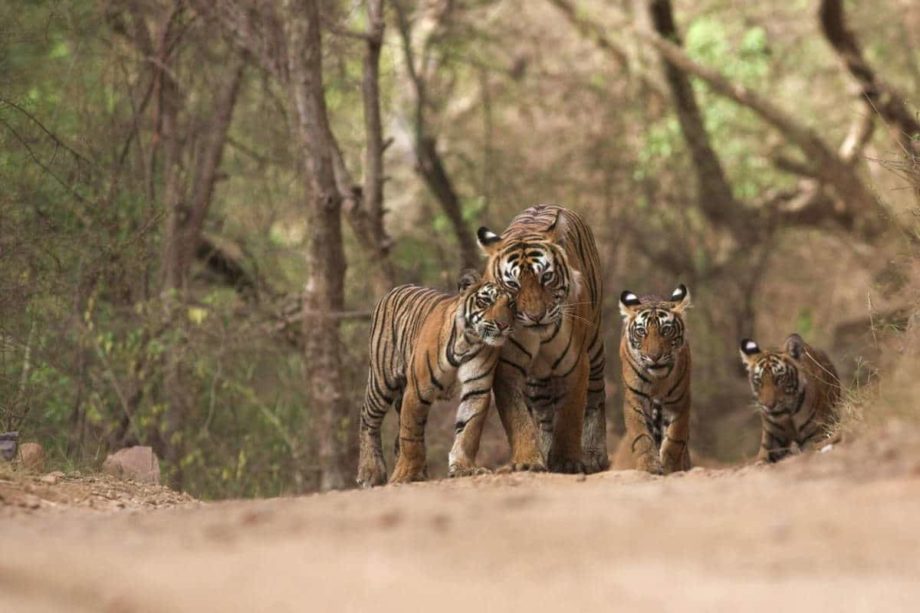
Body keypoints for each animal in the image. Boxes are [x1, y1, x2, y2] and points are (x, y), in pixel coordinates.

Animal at [356, 270, 515, 487]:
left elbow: (468, 430)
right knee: (368, 420)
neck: (467, 342)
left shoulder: (477, 389)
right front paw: (404, 475)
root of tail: (396, 288)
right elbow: (411, 436)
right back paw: (370, 472)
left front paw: (464, 468)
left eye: (511, 304)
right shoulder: (417, 390)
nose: (503, 325)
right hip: (382, 381)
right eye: (485, 301)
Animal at [465, 204, 606, 474]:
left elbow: (570, 414)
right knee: (544, 415)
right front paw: (529, 460)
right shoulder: (506, 369)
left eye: (546, 277)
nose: (536, 316)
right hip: (536, 381)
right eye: (513, 284)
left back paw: (594, 455)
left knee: (595, 397)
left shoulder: (576, 364)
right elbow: (517, 417)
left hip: (594, 348)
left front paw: (567, 461)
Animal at [612, 284, 693, 475]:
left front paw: (671, 466)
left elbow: (675, 438)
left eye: (666, 330)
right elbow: (641, 435)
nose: (654, 356)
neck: (658, 379)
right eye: (642, 332)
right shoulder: (635, 398)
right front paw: (649, 466)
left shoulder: (680, 400)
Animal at [739, 333, 841, 463]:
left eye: (779, 378)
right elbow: (762, 460)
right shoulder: (771, 437)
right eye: (759, 381)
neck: (788, 417)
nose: (769, 405)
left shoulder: (815, 435)